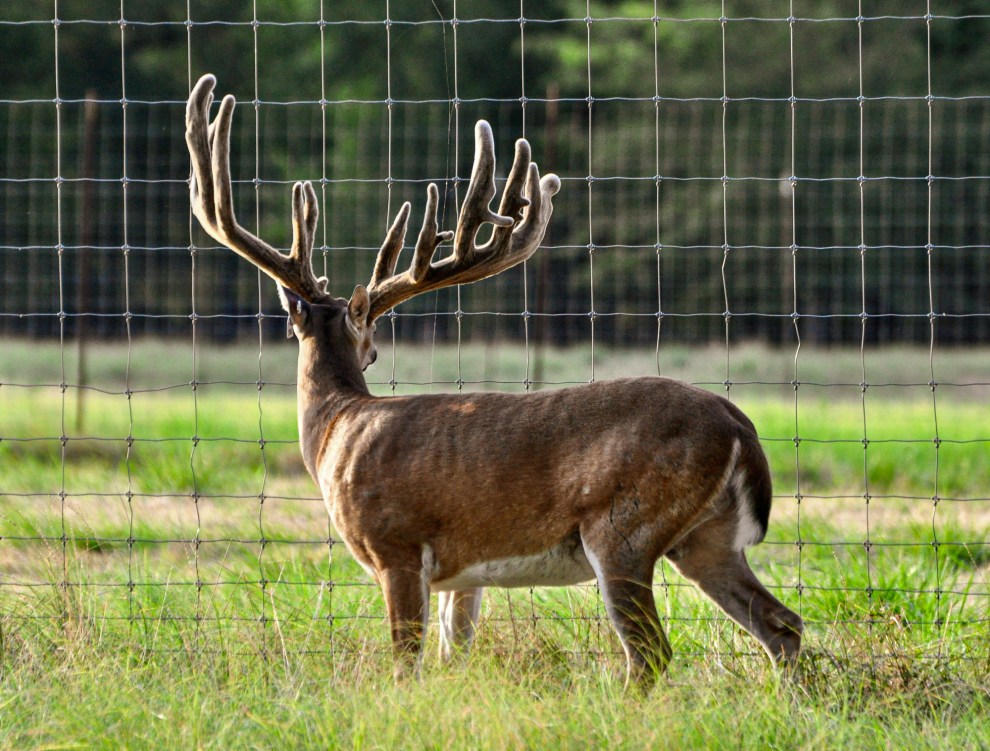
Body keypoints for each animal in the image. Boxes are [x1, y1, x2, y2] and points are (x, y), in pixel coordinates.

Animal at [185, 73, 803, 689]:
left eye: (374, 345)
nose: (373, 351)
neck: (339, 427)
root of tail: (738, 426)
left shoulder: (396, 545)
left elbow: (405, 659)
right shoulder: (462, 575)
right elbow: (452, 651)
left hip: (624, 527)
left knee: (651, 650)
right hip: (707, 537)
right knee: (782, 623)